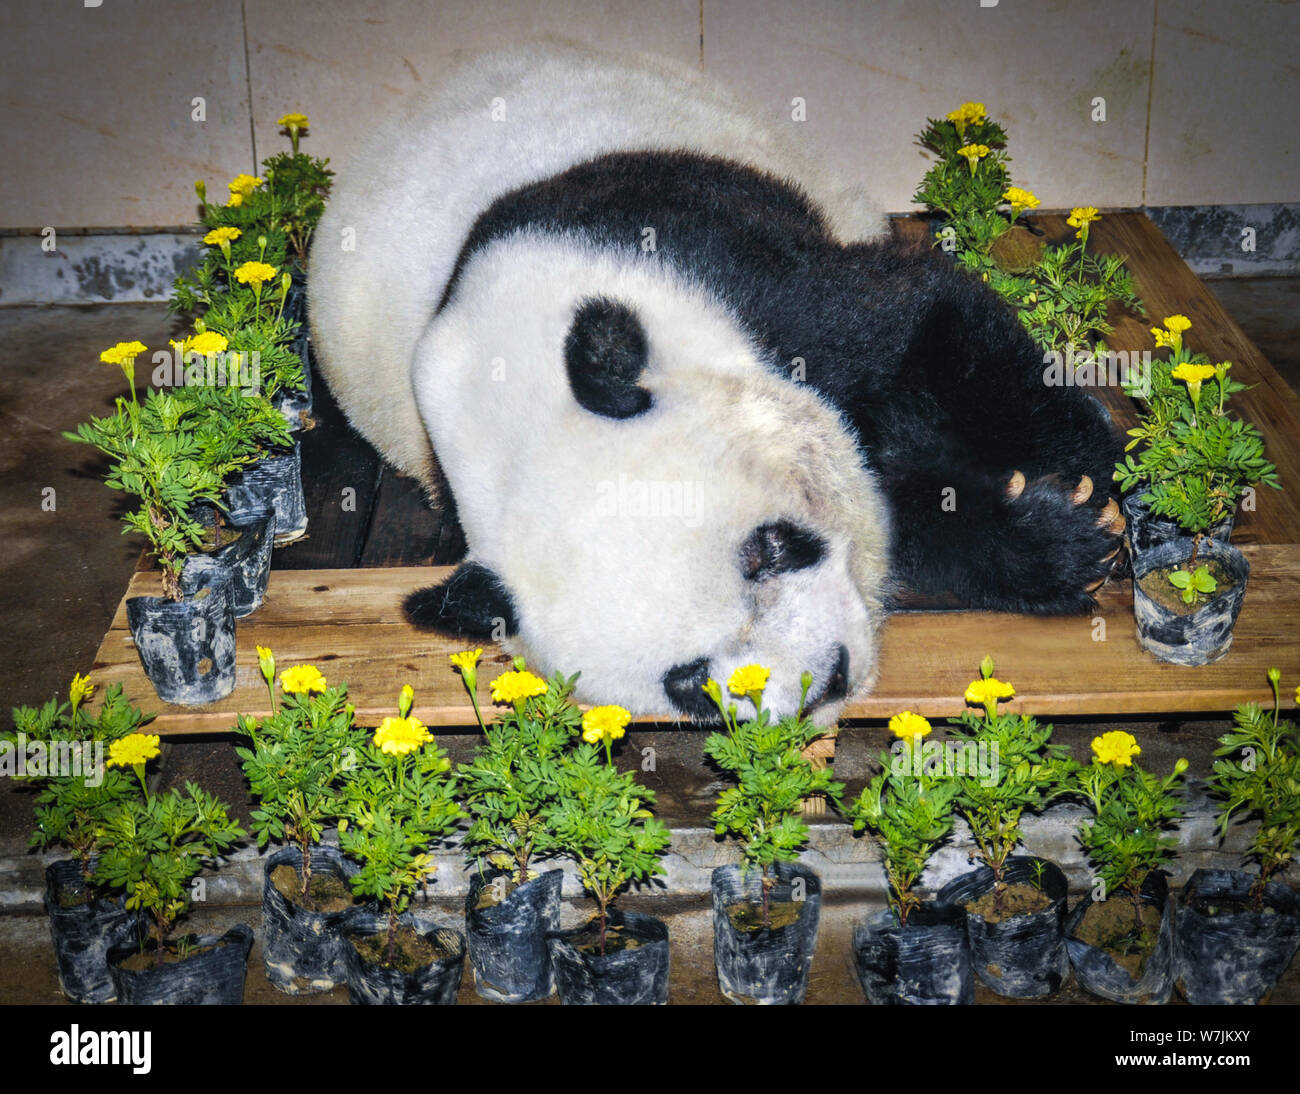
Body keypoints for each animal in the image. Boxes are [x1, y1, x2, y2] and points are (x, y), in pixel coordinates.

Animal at [309, 44, 1126, 722]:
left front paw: (1088, 477)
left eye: (765, 551)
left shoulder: (713, 275)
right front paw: (1048, 542)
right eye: (691, 679)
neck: (510, 382)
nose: (826, 681)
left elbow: (926, 322)